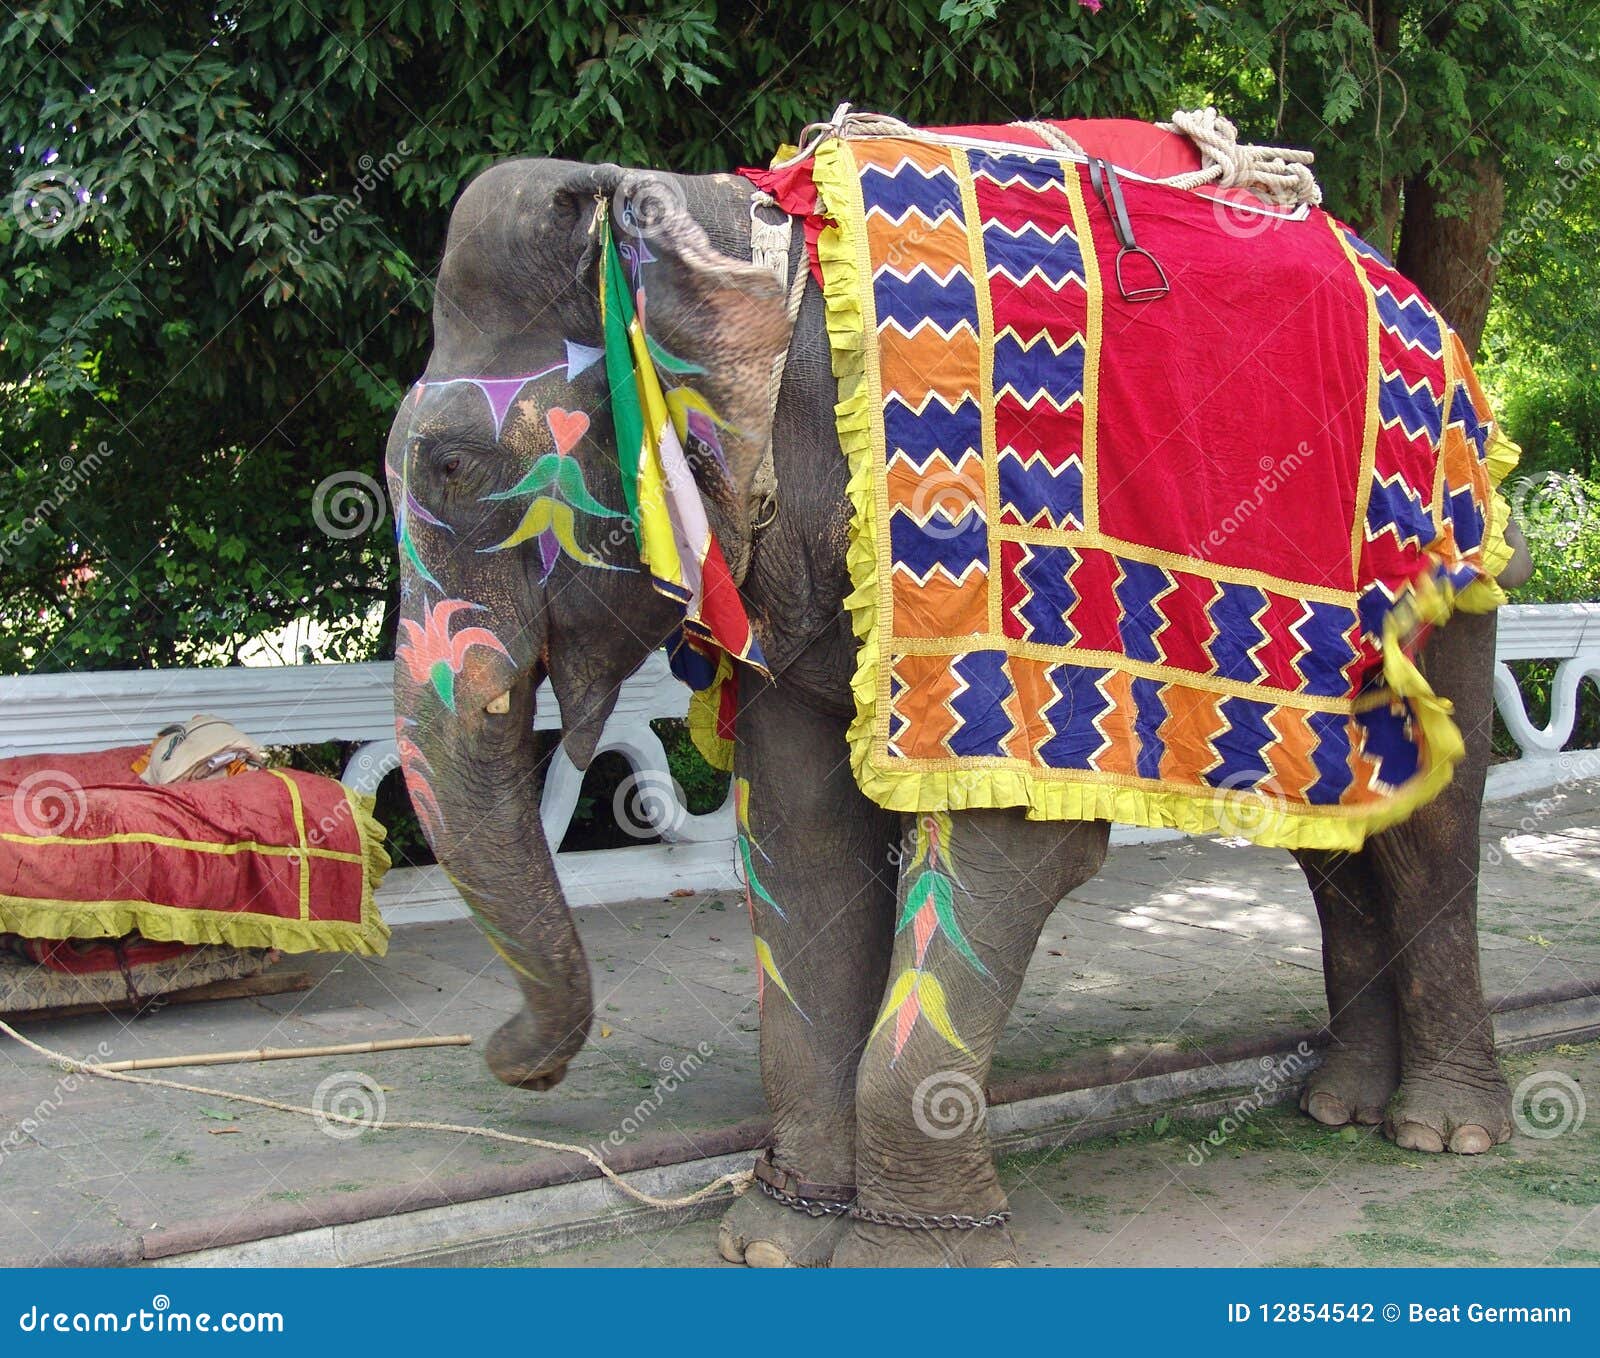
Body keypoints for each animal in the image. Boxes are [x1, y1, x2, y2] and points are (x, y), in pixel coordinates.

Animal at [385, 147, 1533, 1268]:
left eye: (453, 463)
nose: (514, 1063)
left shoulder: (972, 555)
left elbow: (999, 848)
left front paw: (903, 1262)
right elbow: (799, 844)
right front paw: (773, 1240)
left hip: (1448, 580)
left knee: (1428, 832)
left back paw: (1441, 1132)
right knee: (1334, 841)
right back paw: (1340, 1106)